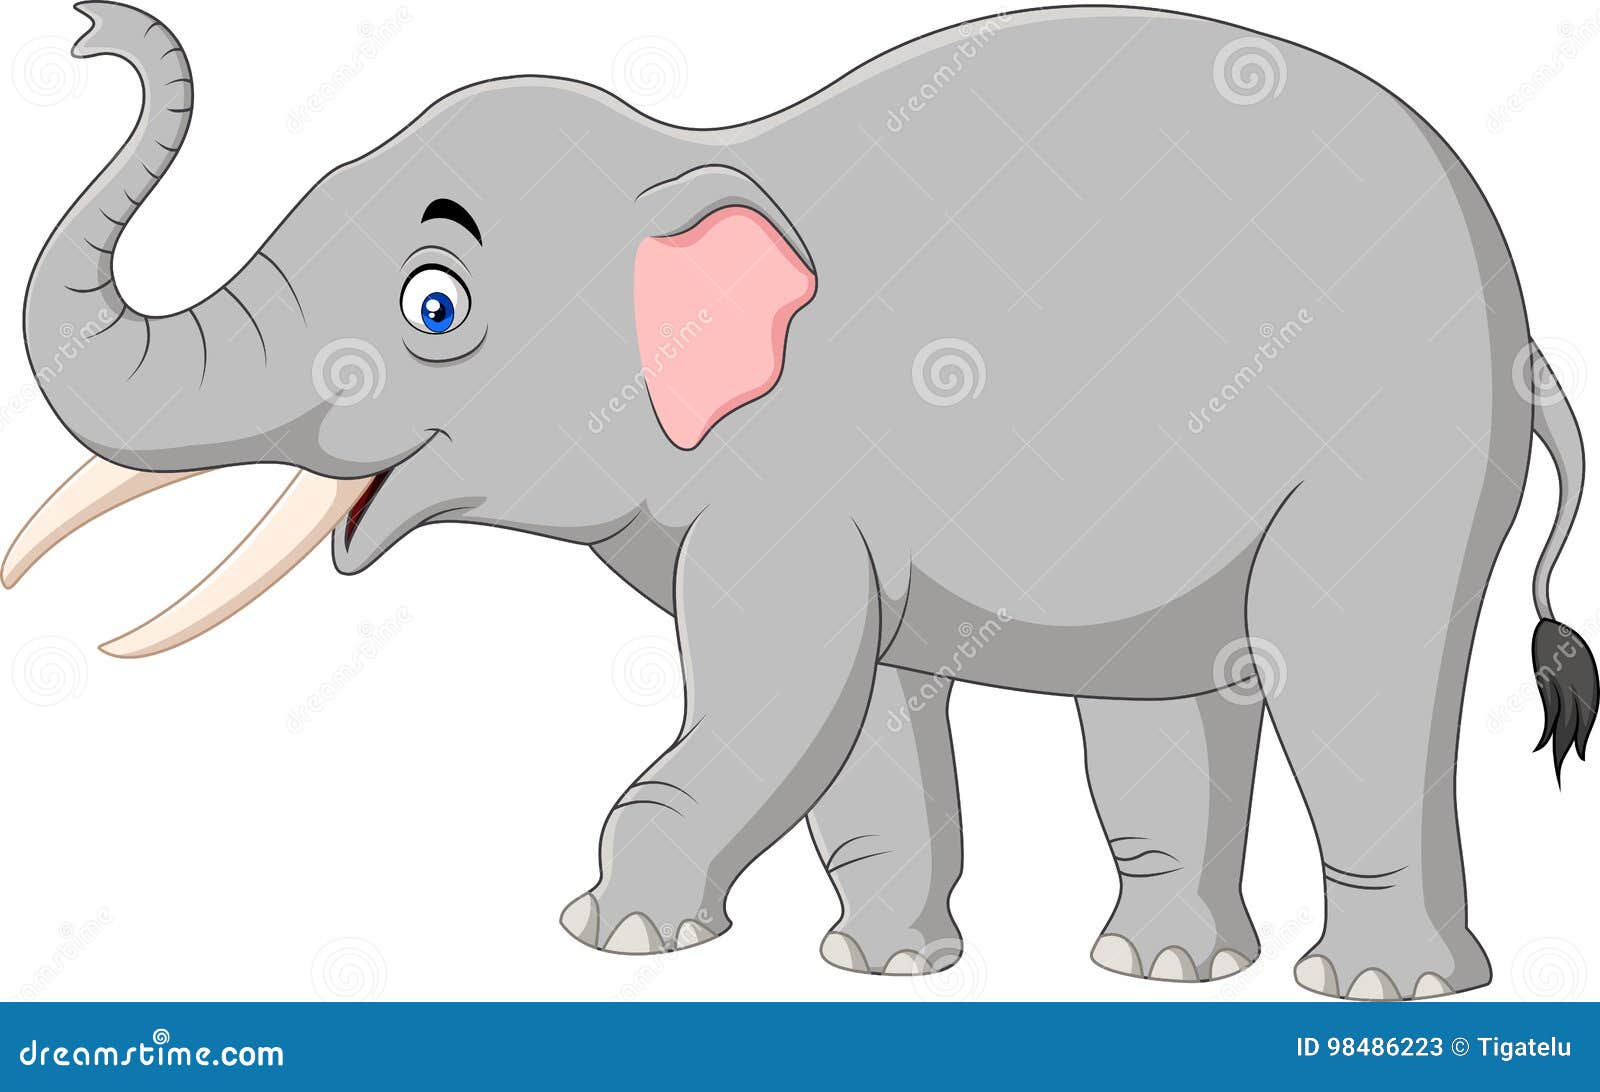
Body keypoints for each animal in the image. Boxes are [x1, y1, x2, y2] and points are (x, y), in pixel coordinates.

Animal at [6, 2, 1595, 1000]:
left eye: (436, 306)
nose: (83, 34)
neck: (688, 152)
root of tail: (1525, 329)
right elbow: (861, 721)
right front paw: (882, 970)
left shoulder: (790, 489)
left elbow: (783, 696)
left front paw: (613, 937)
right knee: (1167, 705)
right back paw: (1162, 971)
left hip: (1404, 445)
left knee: (1353, 673)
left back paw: (1383, 990)